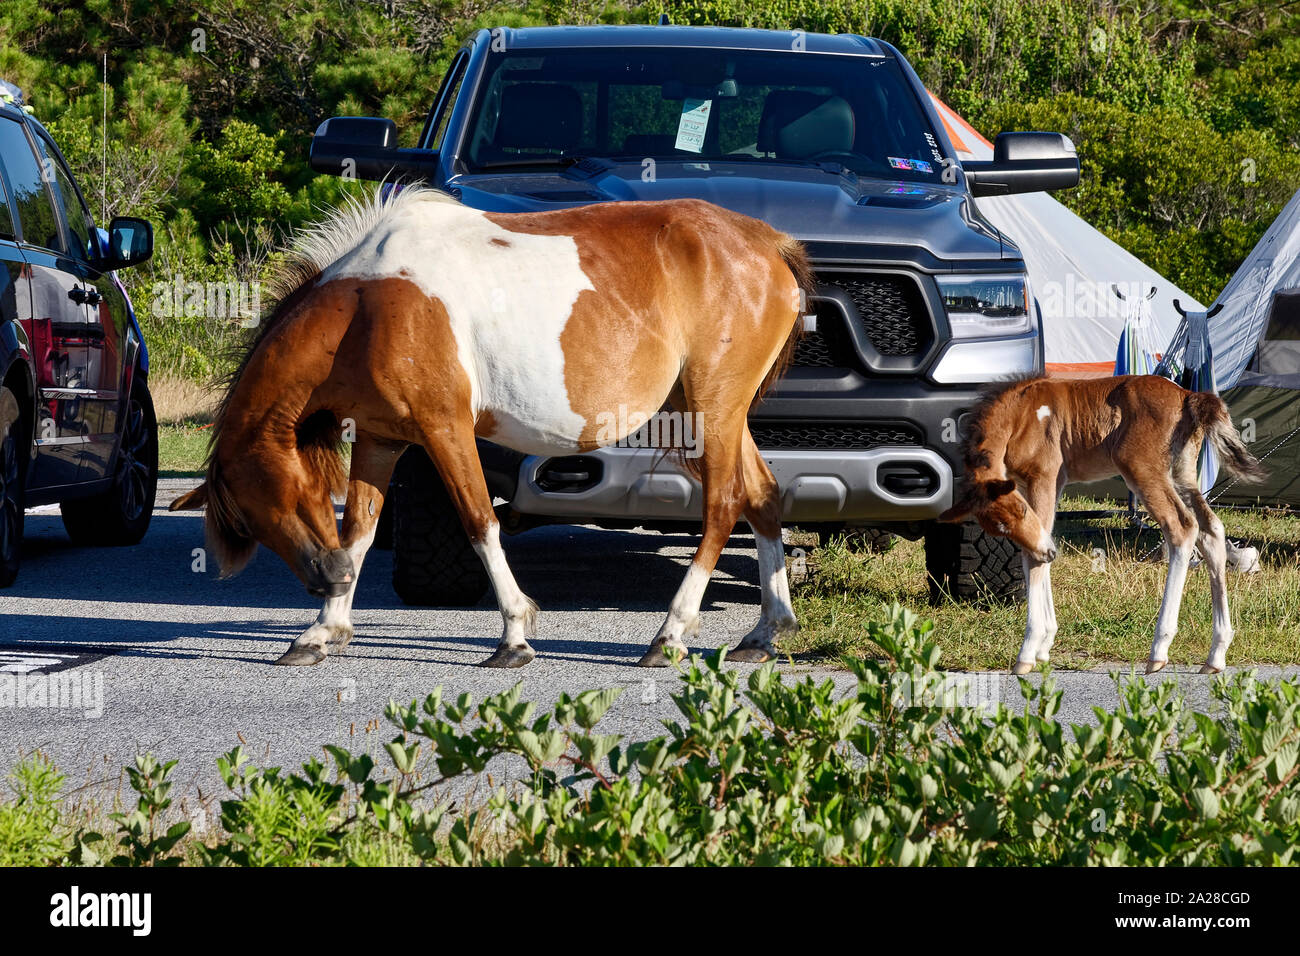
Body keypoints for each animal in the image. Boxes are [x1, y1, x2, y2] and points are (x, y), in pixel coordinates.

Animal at [169, 186, 812, 669]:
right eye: (254, 518)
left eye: (276, 499)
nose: (327, 579)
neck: (368, 307)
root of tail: (767, 242)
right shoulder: (380, 440)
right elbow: (359, 531)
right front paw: (322, 631)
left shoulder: (444, 430)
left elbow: (480, 521)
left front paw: (515, 634)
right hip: (708, 416)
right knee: (763, 496)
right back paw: (766, 631)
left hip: (710, 412)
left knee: (723, 505)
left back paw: (670, 633)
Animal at [938, 374, 1265, 676]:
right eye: (995, 528)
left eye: (1019, 509)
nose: (1049, 552)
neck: (1020, 415)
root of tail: (1187, 395)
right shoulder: (1038, 486)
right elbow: (1036, 549)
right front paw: (1045, 644)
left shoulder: (1045, 476)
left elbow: (1033, 557)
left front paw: (1029, 650)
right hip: (1182, 471)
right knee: (1211, 530)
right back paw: (1216, 653)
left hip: (1141, 467)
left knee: (1183, 528)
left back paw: (1159, 649)